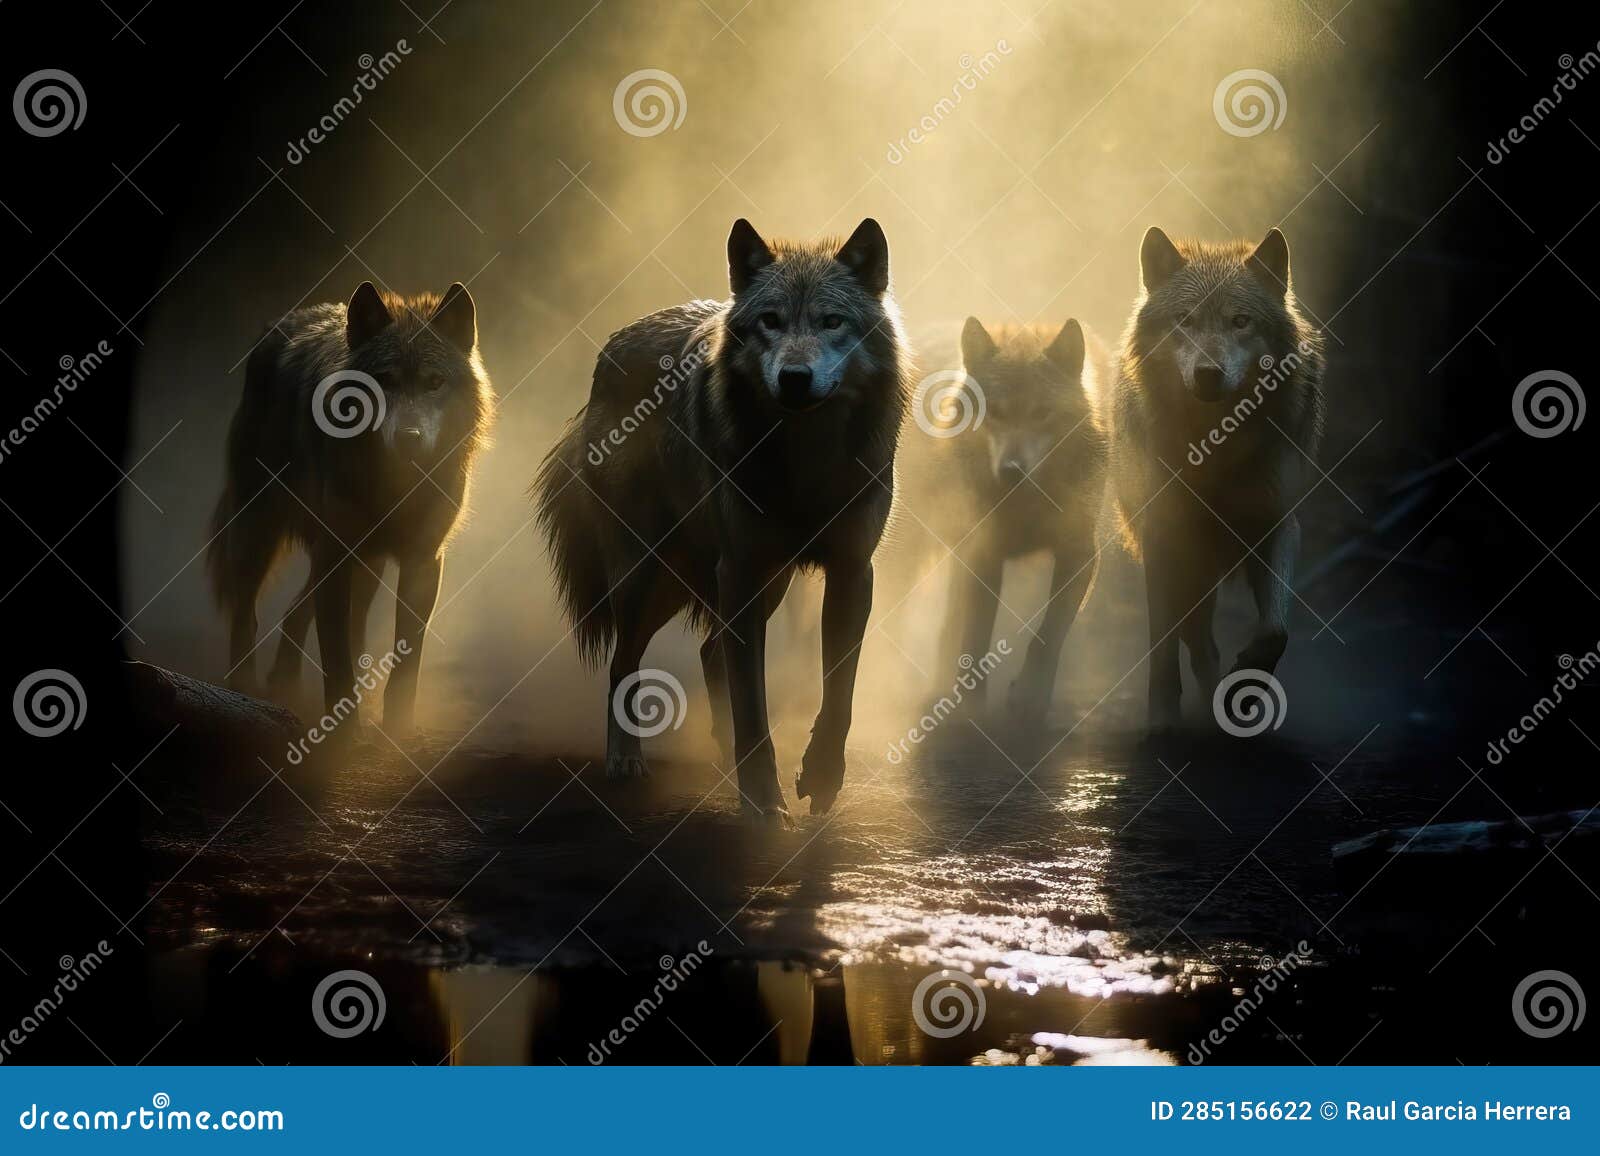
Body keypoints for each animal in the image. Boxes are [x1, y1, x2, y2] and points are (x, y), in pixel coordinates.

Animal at [207, 281, 493, 736]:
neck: (394, 487)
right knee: (247, 613)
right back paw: (247, 691)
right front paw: (342, 736)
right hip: (261, 531)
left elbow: (406, 660)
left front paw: (397, 731)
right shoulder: (335, 554)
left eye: (434, 382)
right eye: (385, 381)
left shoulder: (422, 561)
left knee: (300, 612)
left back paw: (285, 685)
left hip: (365, 564)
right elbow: (337, 658)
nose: (409, 438)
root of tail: (282, 322)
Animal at [534, 218, 907, 822]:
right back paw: (627, 761)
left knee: (710, 655)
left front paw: (821, 778)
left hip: (762, 584)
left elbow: (839, 695)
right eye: (770, 321)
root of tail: (612, 348)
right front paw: (763, 802)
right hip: (649, 580)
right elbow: (754, 705)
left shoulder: (853, 572)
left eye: (832, 321)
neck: (805, 456)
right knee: (622, 665)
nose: (795, 377)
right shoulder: (739, 569)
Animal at [899, 317, 1110, 723]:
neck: (1025, 506)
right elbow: (976, 637)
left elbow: (1049, 634)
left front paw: (1030, 696)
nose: (1012, 470)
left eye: (1042, 413)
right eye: (993, 412)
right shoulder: (983, 554)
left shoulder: (1079, 554)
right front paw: (969, 707)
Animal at [1109, 226, 1324, 731]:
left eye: (1240, 321)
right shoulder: (1164, 536)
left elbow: (1275, 630)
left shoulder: (1276, 525)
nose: (1208, 374)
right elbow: (1162, 645)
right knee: (1196, 640)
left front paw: (1248, 676)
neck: (1215, 445)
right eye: (1185, 321)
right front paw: (1162, 717)